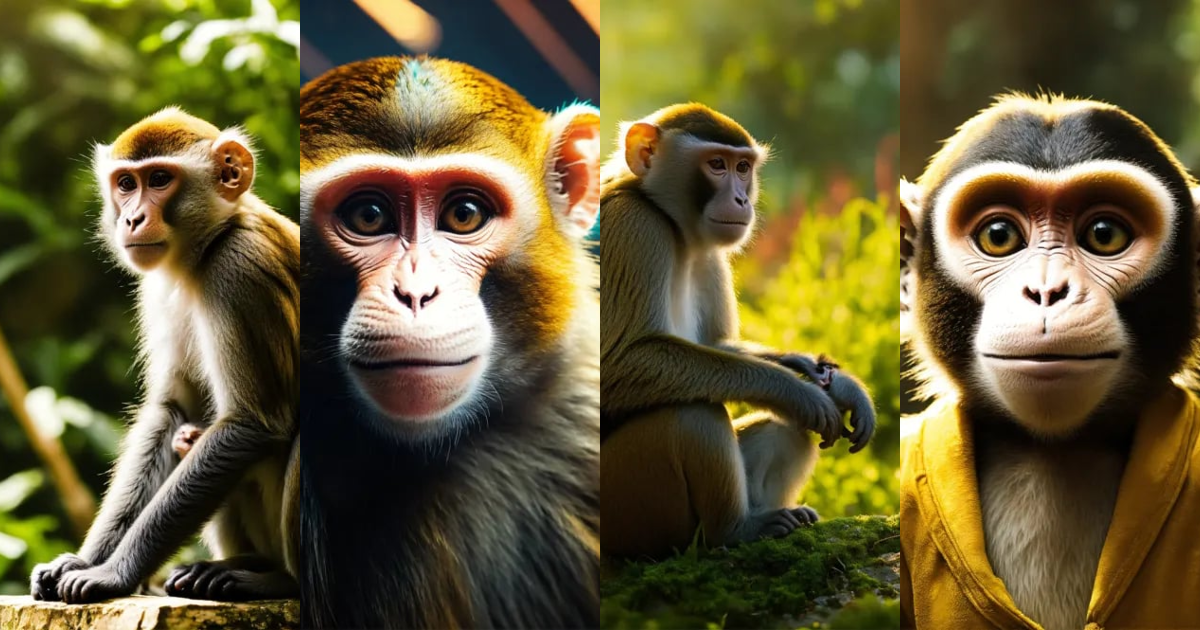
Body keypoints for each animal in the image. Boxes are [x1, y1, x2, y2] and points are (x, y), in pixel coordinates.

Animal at [29, 106, 300, 604]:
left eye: (159, 179)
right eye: (125, 184)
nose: (133, 218)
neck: (209, 246)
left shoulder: (239, 270)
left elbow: (252, 423)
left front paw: (113, 574)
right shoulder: (157, 290)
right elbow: (173, 410)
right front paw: (83, 560)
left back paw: (274, 579)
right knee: (188, 437)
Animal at [598, 103, 877, 559]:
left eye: (743, 167)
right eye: (716, 164)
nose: (742, 199)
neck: (674, 227)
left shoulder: (707, 253)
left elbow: (716, 345)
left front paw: (837, 383)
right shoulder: (633, 229)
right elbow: (620, 361)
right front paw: (796, 389)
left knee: (787, 427)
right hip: (628, 506)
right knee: (692, 414)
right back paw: (735, 530)